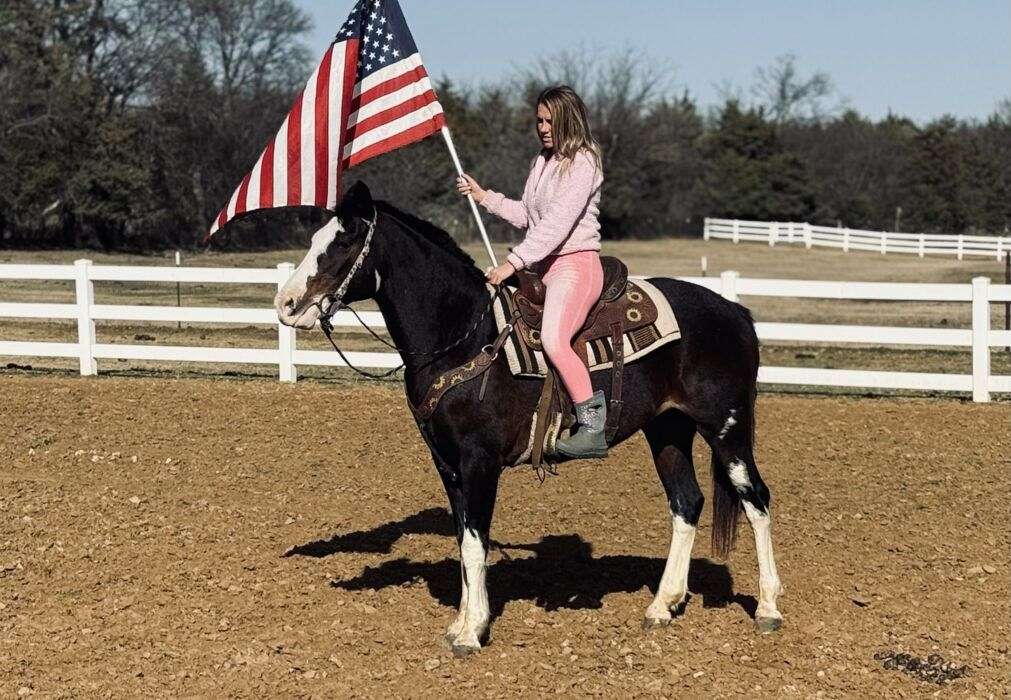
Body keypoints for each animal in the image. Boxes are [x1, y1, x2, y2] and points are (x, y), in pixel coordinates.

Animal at [274, 182, 783, 656]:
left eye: (343, 242)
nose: (286, 304)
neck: (465, 333)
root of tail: (736, 312)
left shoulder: (479, 462)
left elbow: (476, 541)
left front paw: (473, 632)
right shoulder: (447, 465)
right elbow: (463, 538)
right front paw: (460, 623)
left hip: (727, 429)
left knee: (756, 499)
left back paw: (768, 608)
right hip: (668, 430)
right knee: (687, 502)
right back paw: (662, 605)